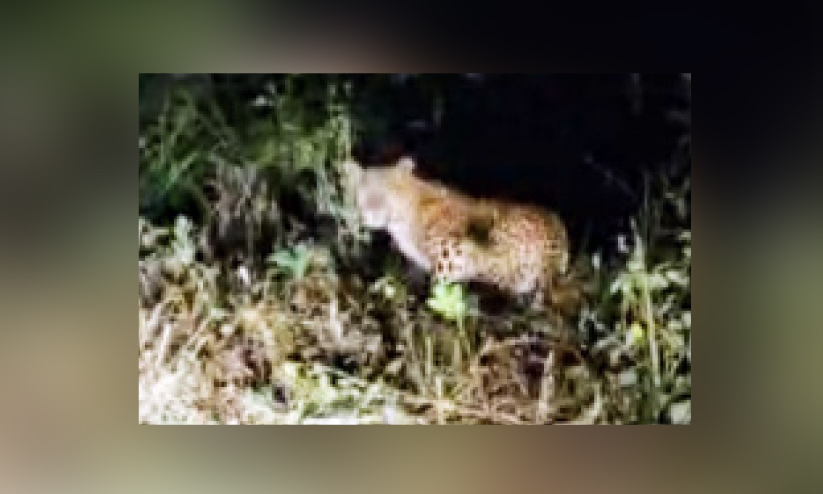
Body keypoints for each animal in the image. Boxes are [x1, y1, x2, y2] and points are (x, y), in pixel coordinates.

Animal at [343, 156, 571, 309]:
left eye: (386, 189)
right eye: (362, 191)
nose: (372, 208)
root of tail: (558, 225)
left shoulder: (453, 254)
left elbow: (438, 289)